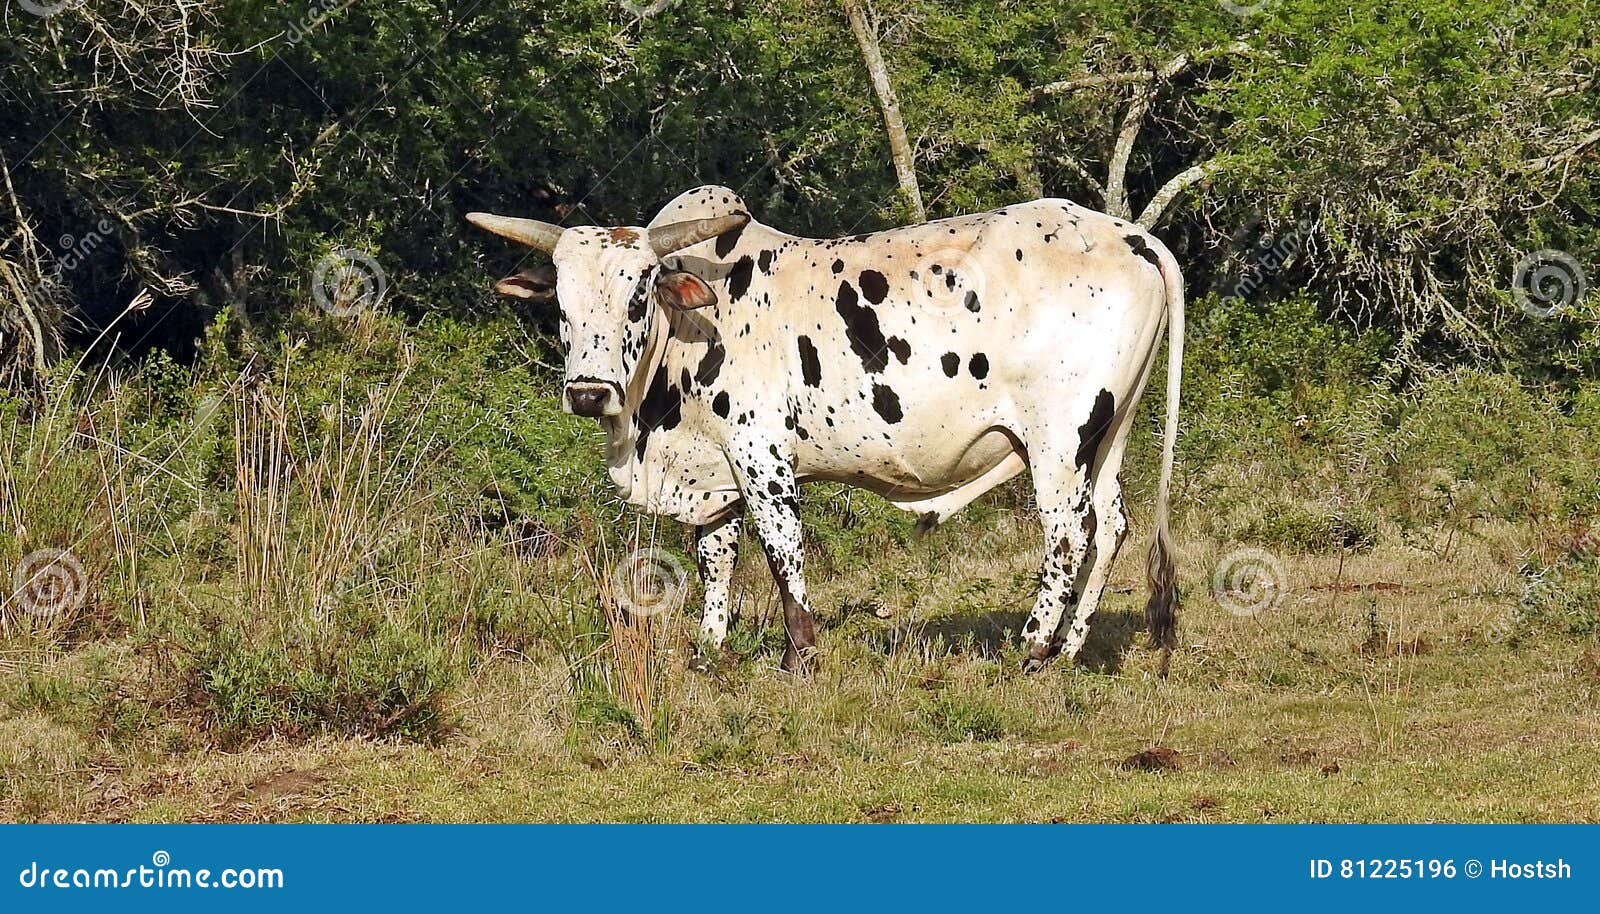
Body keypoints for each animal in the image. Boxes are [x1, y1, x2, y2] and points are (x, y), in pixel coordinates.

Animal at [469, 185, 1183, 675]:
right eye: (561, 303)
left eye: (639, 294)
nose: (589, 392)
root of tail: (1130, 236)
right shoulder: (715, 474)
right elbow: (717, 558)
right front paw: (709, 646)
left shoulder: (761, 456)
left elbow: (783, 553)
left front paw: (799, 655)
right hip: (1107, 435)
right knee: (1111, 526)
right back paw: (1068, 649)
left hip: (1059, 442)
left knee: (1068, 534)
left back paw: (1033, 647)